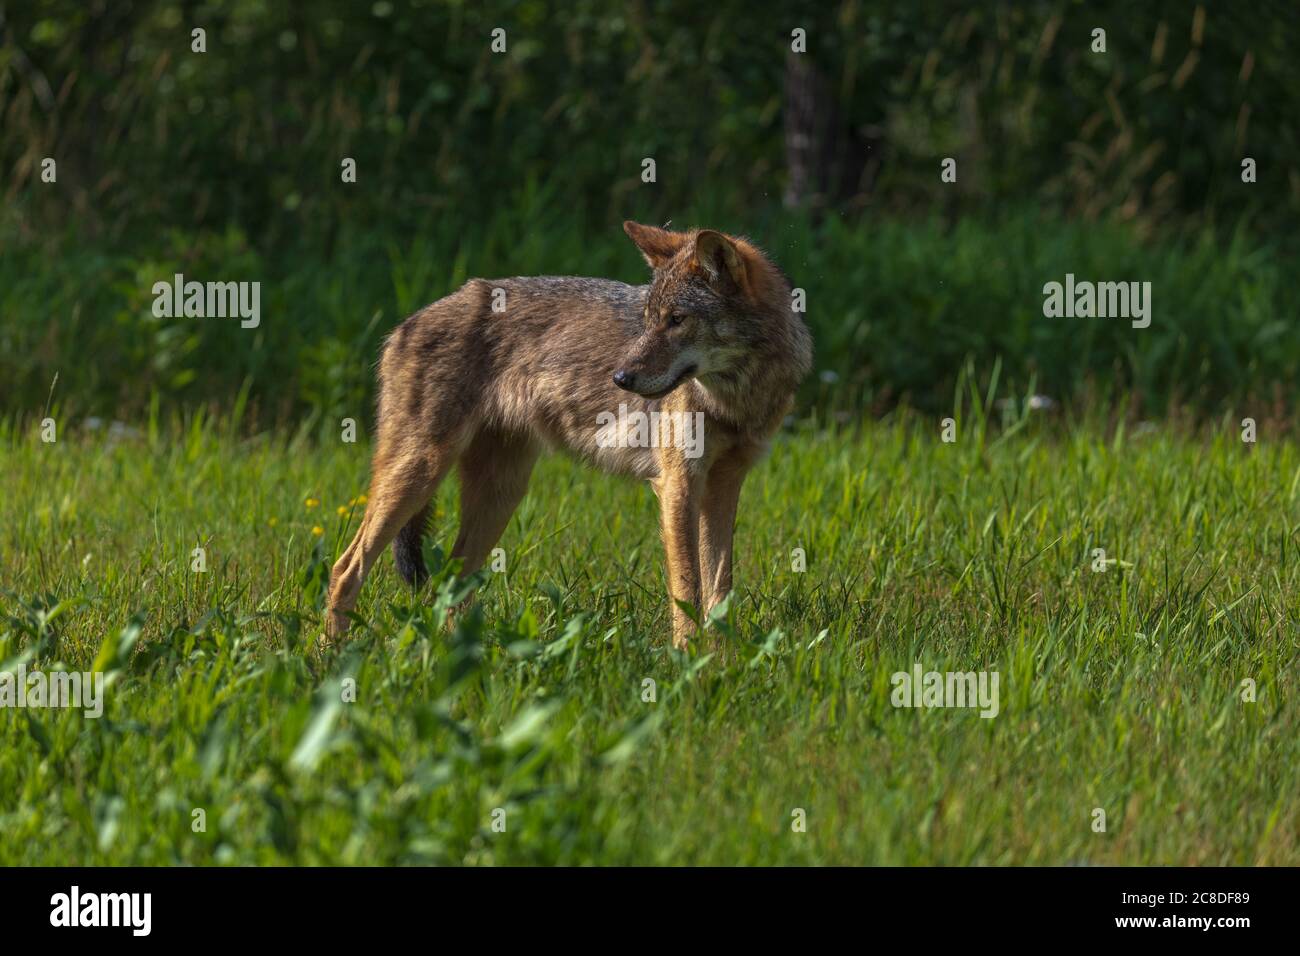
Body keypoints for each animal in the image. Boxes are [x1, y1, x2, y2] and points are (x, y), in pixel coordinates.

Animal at [326, 221, 812, 649]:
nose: (620, 378)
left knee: (450, 586)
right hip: (420, 474)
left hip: (499, 496)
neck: (737, 398)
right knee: (345, 568)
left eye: (677, 320)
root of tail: (403, 325)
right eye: (649, 320)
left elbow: (718, 590)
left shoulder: (725, 484)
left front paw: (721, 663)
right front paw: (688, 659)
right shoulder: (678, 485)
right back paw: (332, 661)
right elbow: (688, 589)